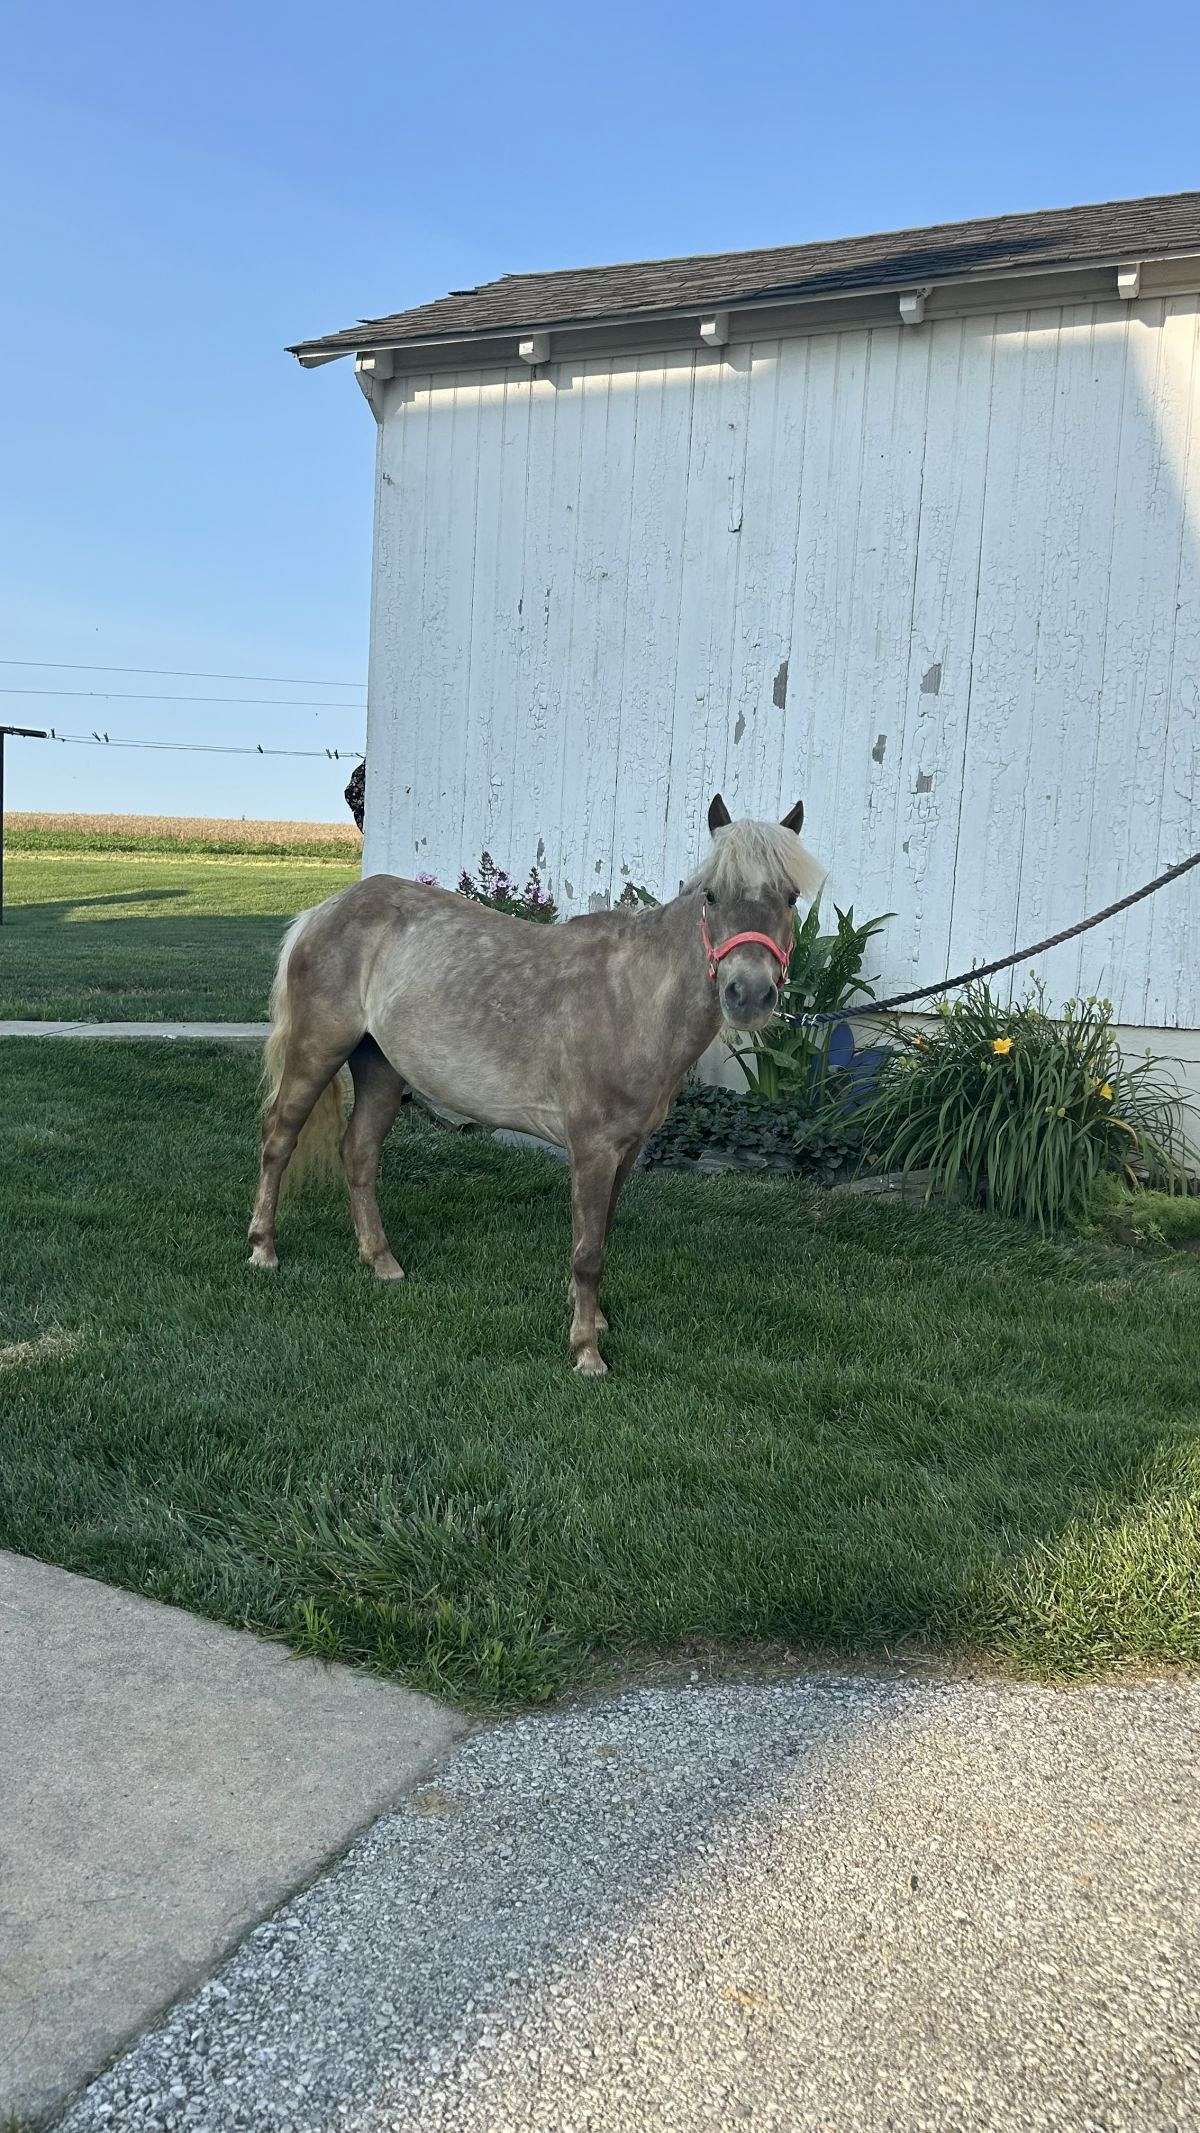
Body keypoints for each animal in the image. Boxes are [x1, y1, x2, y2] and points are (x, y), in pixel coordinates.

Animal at [248, 794, 826, 1375]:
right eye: (711, 895)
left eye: (791, 897)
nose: (748, 995)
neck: (632, 999)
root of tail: (325, 911)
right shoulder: (592, 1149)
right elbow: (588, 1252)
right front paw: (586, 1351)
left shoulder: (626, 1151)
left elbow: (599, 1235)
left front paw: (593, 1321)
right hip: (317, 1051)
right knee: (279, 1139)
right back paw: (263, 1249)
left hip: (382, 1068)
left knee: (359, 1152)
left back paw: (381, 1260)